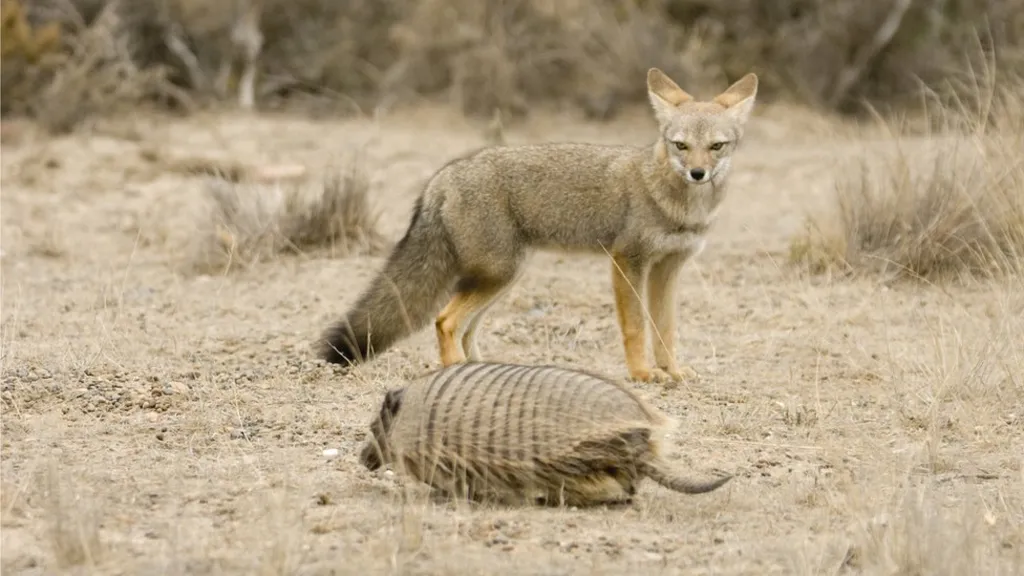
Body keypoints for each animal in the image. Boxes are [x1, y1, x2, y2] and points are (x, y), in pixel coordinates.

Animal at [318, 67, 758, 384]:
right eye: (680, 145)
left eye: (716, 146)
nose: (698, 173)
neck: (681, 205)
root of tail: (442, 176)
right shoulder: (626, 261)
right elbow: (635, 327)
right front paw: (643, 374)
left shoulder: (669, 268)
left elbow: (666, 329)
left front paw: (673, 371)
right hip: (498, 274)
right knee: (446, 321)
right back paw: (457, 372)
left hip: (502, 277)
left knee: (465, 328)